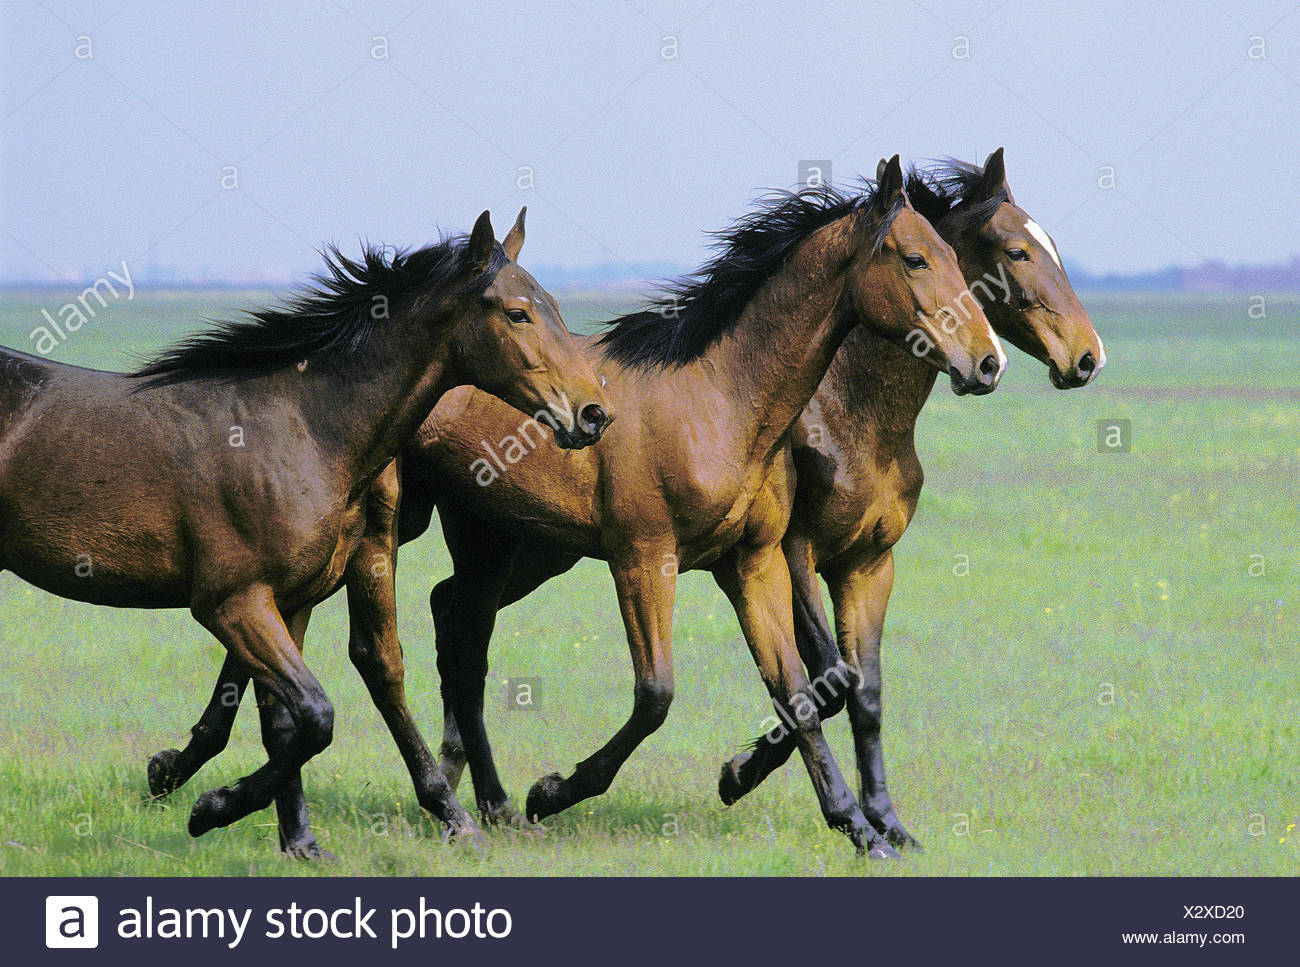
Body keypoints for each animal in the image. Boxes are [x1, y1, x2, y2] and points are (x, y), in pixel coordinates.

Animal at [0, 208, 612, 857]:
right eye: (517, 312)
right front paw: (210, 808)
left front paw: (298, 841)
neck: (305, 429)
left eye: (554, 305)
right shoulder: (232, 603)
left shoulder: (291, 600)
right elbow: (317, 715)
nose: (594, 414)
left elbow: (288, 720)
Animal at [713, 149, 1107, 851]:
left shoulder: (868, 563)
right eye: (1017, 251)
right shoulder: (795, 552)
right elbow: (827, 682)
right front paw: (739, 774)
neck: (850, 413)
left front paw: (888, 824)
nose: (1088, 357)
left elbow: (865, 694)